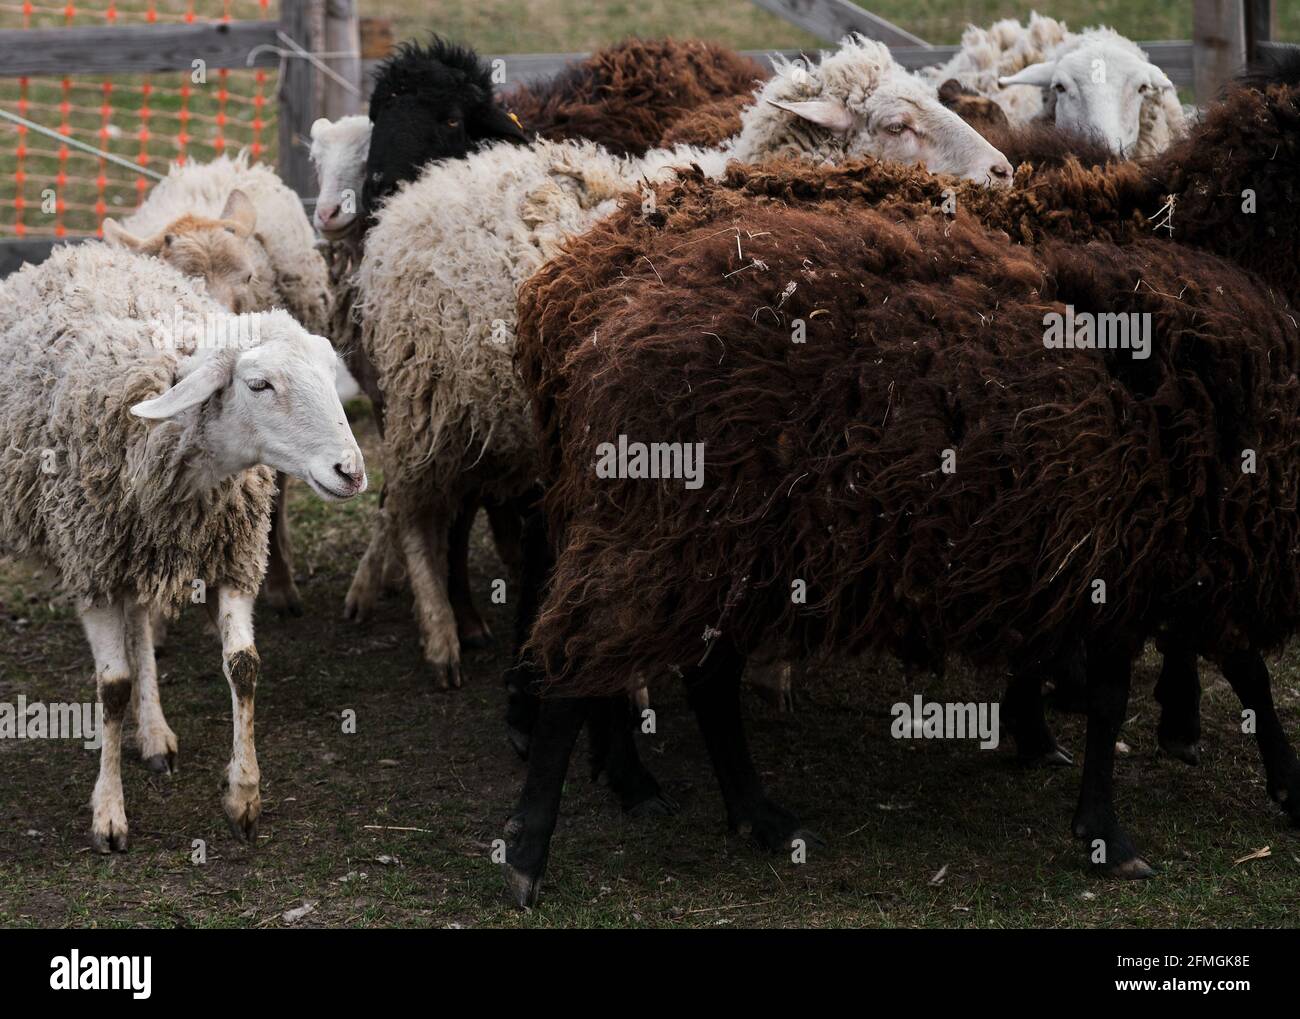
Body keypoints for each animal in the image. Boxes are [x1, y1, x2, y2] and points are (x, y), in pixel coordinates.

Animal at [0, 243, 366, 852]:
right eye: (259, 384)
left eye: (329, 372)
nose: (351, 472)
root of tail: (78, 250)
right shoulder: (92, 565)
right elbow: (112, 687)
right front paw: (109, 814)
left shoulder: (234, 557)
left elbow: (243, 666)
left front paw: (243, 796)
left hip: (138, 553)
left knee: (140, 626)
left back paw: (154, 735)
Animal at [355, 33, 1014, 694]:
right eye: (898, 125)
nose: (1004, 171)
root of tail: (424, 186)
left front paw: (770, 662)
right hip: (425, 404)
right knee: (415, 514)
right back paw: (441, 637)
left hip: (484, 416)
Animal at [501, 58, 1300, 904]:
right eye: (894, 122)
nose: (999, 170)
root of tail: (578, 281)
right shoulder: (1151, 527)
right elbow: (1221, 661)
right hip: (665, 529)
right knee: (590, 645)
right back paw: (555, 824)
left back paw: (724, 803)